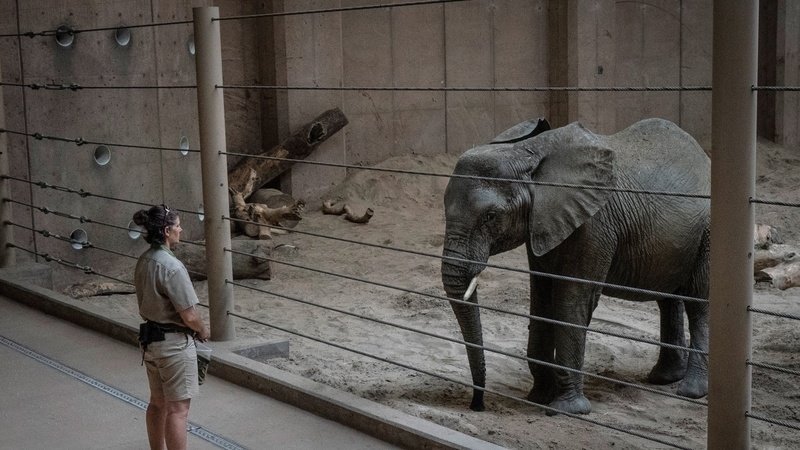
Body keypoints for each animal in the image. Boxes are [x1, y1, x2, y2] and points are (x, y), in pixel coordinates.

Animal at [440, 117, 710, 415]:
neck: (526, 152)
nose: (477, 405)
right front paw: (538, 397)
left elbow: (572, 303)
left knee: (698, 303)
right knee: (668, 298)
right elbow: (541, 298)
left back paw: (691, 391)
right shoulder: (543, 224)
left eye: (490, 216)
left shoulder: (594, 225)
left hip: (707, 231)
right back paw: (664, 378)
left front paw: (566, 409)